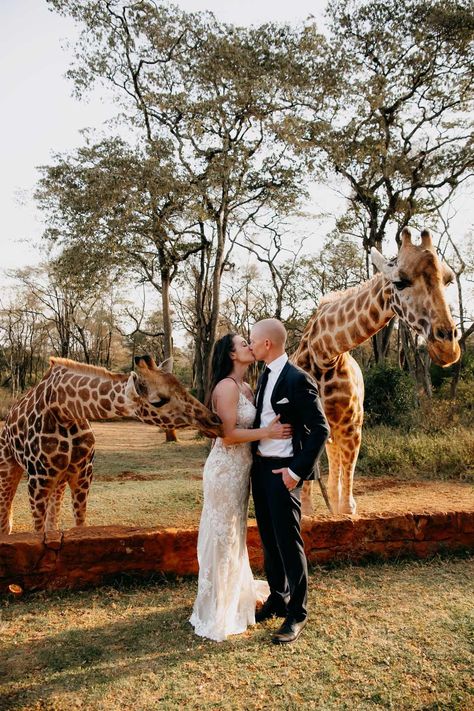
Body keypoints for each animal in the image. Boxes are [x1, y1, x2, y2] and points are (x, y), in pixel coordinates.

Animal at [0, 356, 222, 536]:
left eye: (182, 386)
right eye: (158, 401)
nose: (214, 421)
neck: (66, 411)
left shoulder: (82, 474)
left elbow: (78, 525)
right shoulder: (37, 480)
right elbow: (37, 532)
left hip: (59, 479)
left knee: (51, 521)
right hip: (9, 469)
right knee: (6, 518)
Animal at [294, 231, 462, 516]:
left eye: (449, 279)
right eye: (400, 282)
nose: (447, 347)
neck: (324, 353)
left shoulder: (352, 425)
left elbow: (347, 499)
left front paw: (344, 505)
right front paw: (306, 507)